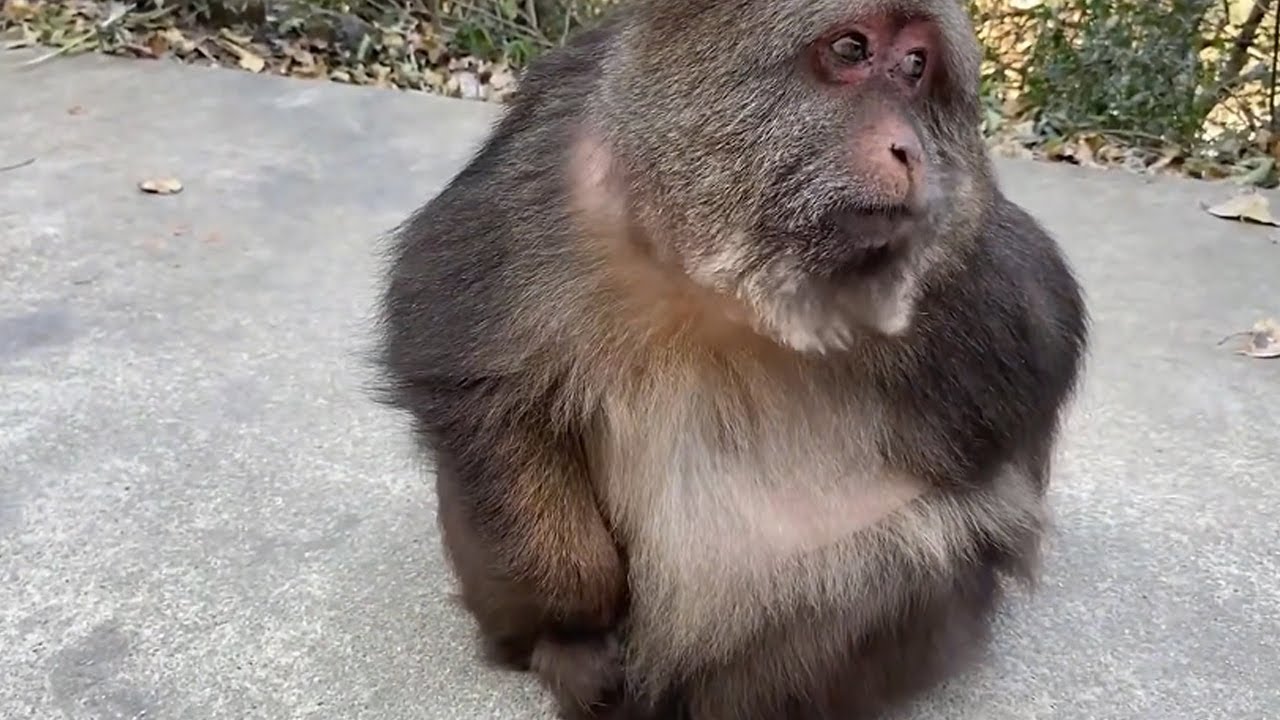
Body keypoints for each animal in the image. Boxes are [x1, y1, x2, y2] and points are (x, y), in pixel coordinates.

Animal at [373, 0, 1089, 718]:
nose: (909, 150)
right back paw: (561, 653)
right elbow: (472, 369)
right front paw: (574, 613)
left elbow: (1027, 360)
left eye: (916, 66)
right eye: (851, 49)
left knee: (927, 550)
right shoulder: (554, 153)